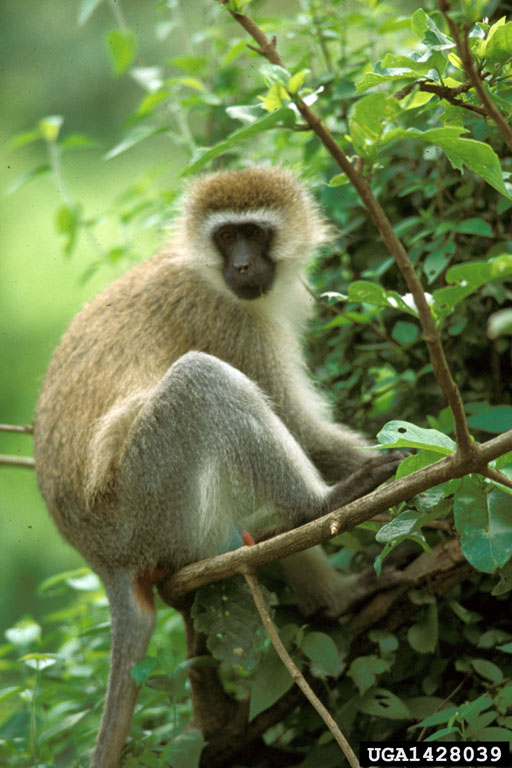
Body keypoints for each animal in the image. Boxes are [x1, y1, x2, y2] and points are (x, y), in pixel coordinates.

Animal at [33, 166, 403, 767]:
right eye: (227, 237)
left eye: (254, 232)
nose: (245, 266)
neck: (206, 274)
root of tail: (103, 559)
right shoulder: (225, 320)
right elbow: (300, 426)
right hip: (152, 504)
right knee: (202, 381)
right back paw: (325, 505)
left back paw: (334, 598)